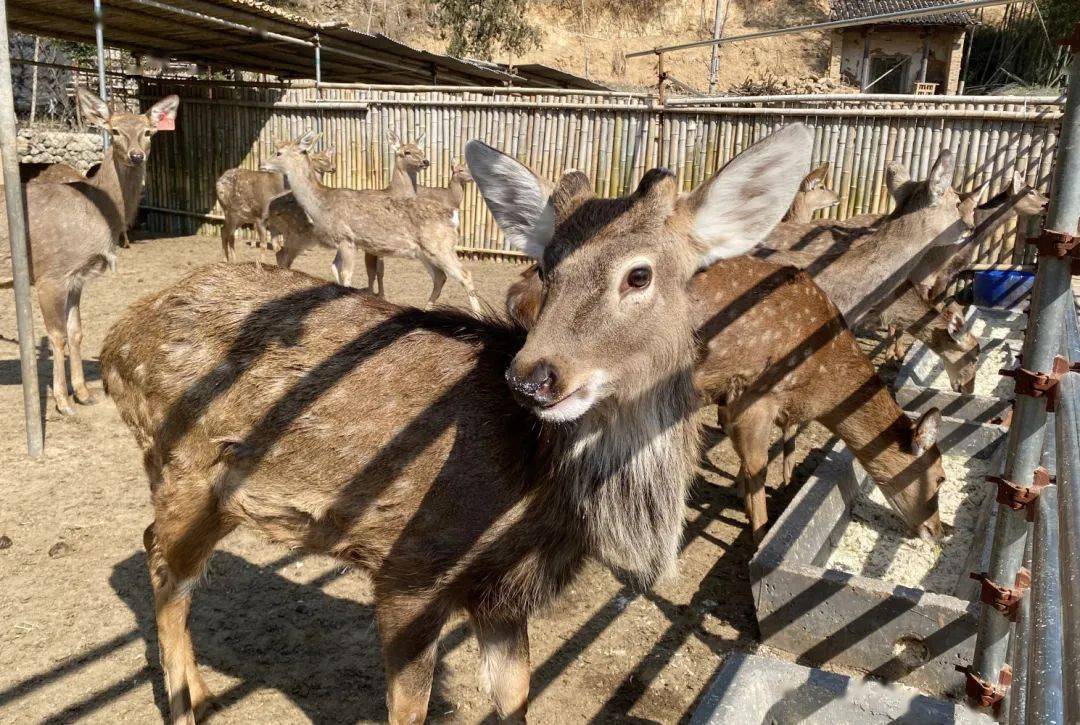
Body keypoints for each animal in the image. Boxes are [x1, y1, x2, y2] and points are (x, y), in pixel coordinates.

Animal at [0, 87, 177, 415]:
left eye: (148, 131)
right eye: (115, 130)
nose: (136, 155)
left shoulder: (77, 277)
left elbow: (76, 331)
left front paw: (83, 393)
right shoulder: (50, 274)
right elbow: (57, 336)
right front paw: (62, 401)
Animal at [261, 131, 483, 314]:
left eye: (278, 152)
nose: (262, 164)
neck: (322, 205)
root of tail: (453, 215)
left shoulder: (347, 238)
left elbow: (347, 275)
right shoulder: (347, 243)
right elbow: (340, 272)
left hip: (440, 246)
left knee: (465, 275)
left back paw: (478, 316)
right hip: (424, 252)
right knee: (440, 277)